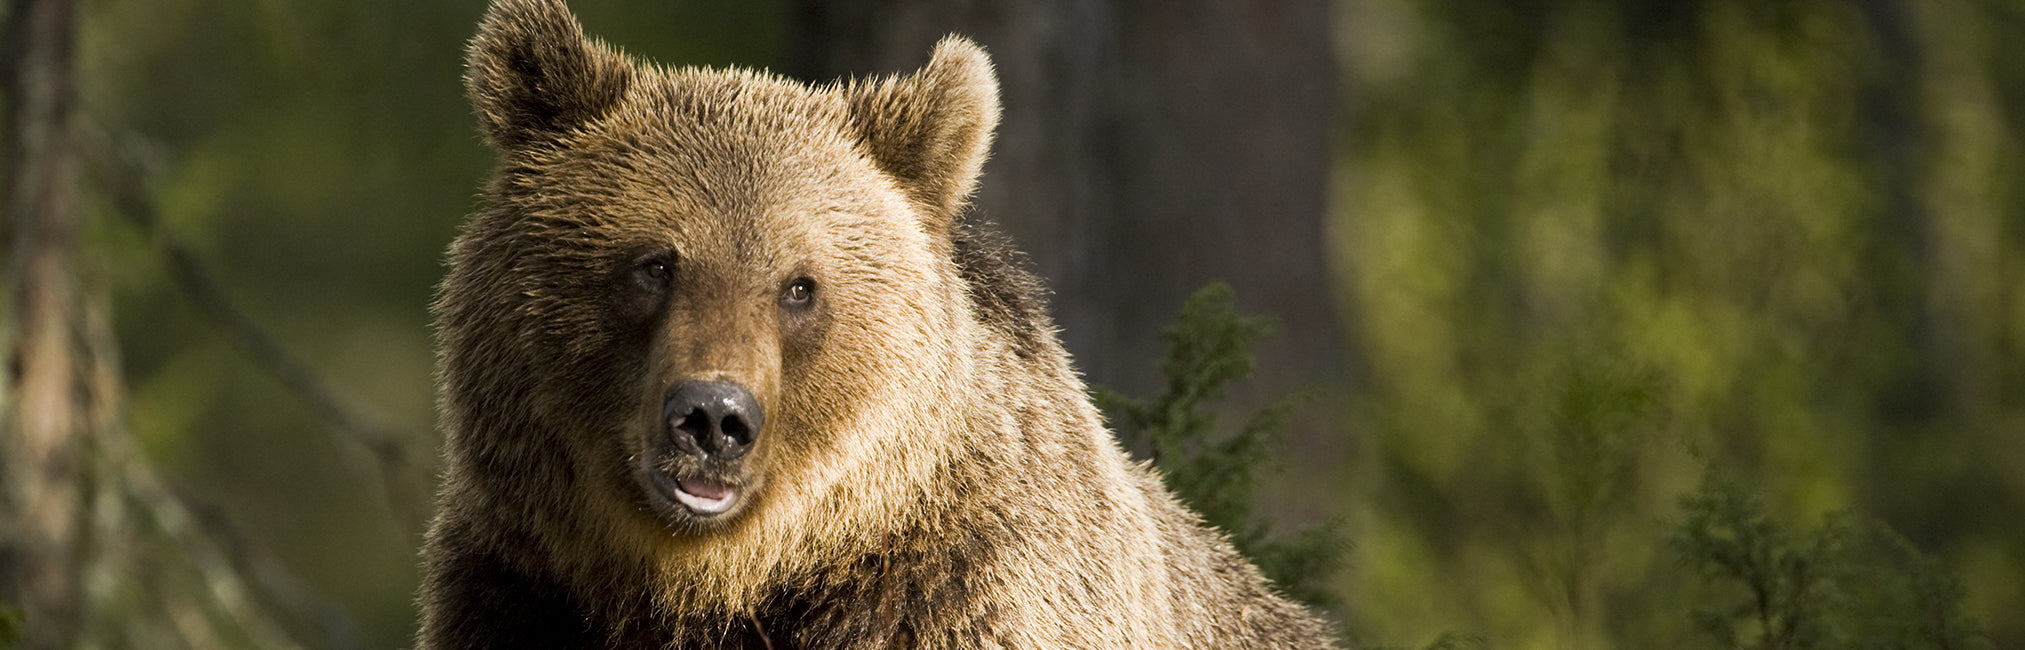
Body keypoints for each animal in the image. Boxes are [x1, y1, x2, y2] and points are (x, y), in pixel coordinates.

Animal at [416, 0, 1339, 647]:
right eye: (655, 263)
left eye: (799, 285)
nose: (712, 417)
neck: (713, 585)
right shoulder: (519, 590)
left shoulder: (957, 595)